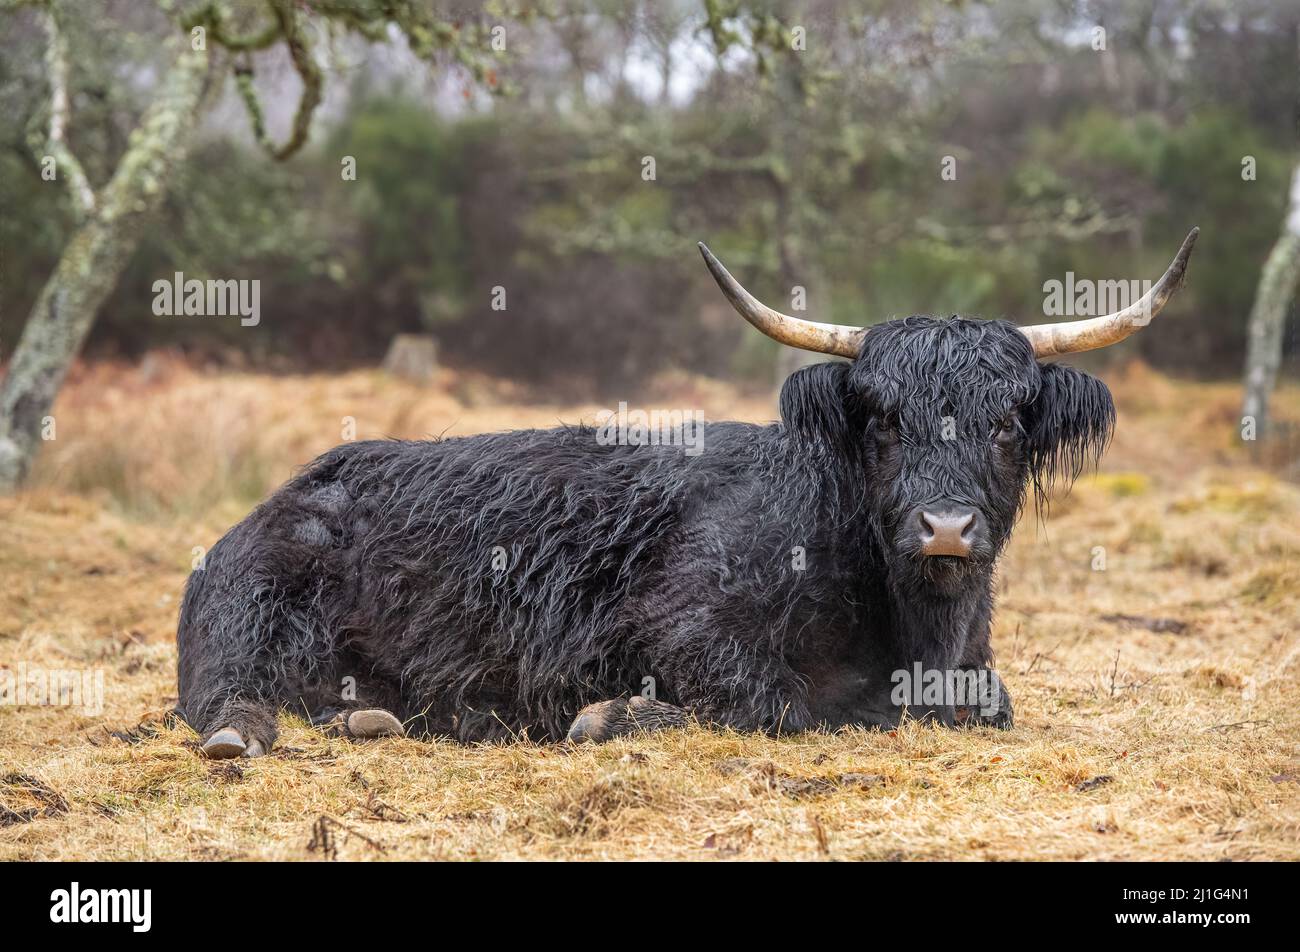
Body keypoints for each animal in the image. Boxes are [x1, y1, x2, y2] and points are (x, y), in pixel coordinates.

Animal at [177, 229, 1199, 757]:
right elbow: (779, 703)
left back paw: (373, 717)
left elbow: (991, 703)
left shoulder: (977, 668)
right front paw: (608, 716)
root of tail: (280, 498)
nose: (943, 527)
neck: (918, 624)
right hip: (248, 606)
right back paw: (247, 734)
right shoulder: (688, 627)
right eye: (883, 419)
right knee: (219, 694)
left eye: (1007, 423)